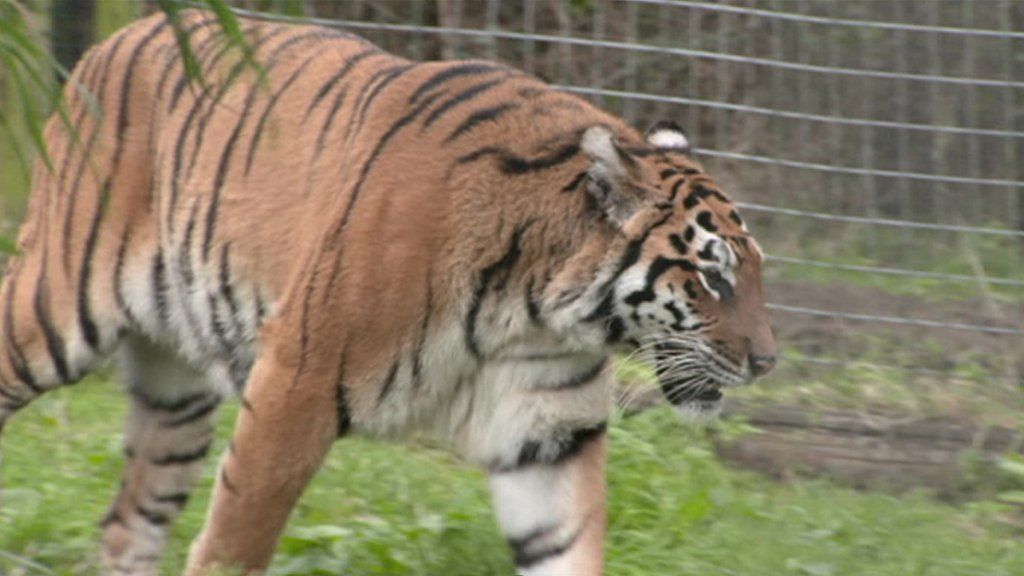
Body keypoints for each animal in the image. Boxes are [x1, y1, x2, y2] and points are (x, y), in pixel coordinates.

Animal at [0, 9, 776, 576]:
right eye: (713, 277)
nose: (768, 362)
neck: (531, 310)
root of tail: (119, 35)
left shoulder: (551, 435)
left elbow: (567, 545)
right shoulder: (296, 382)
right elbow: (234, 540)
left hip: (176, 396)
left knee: (129, 520)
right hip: (53, 309)